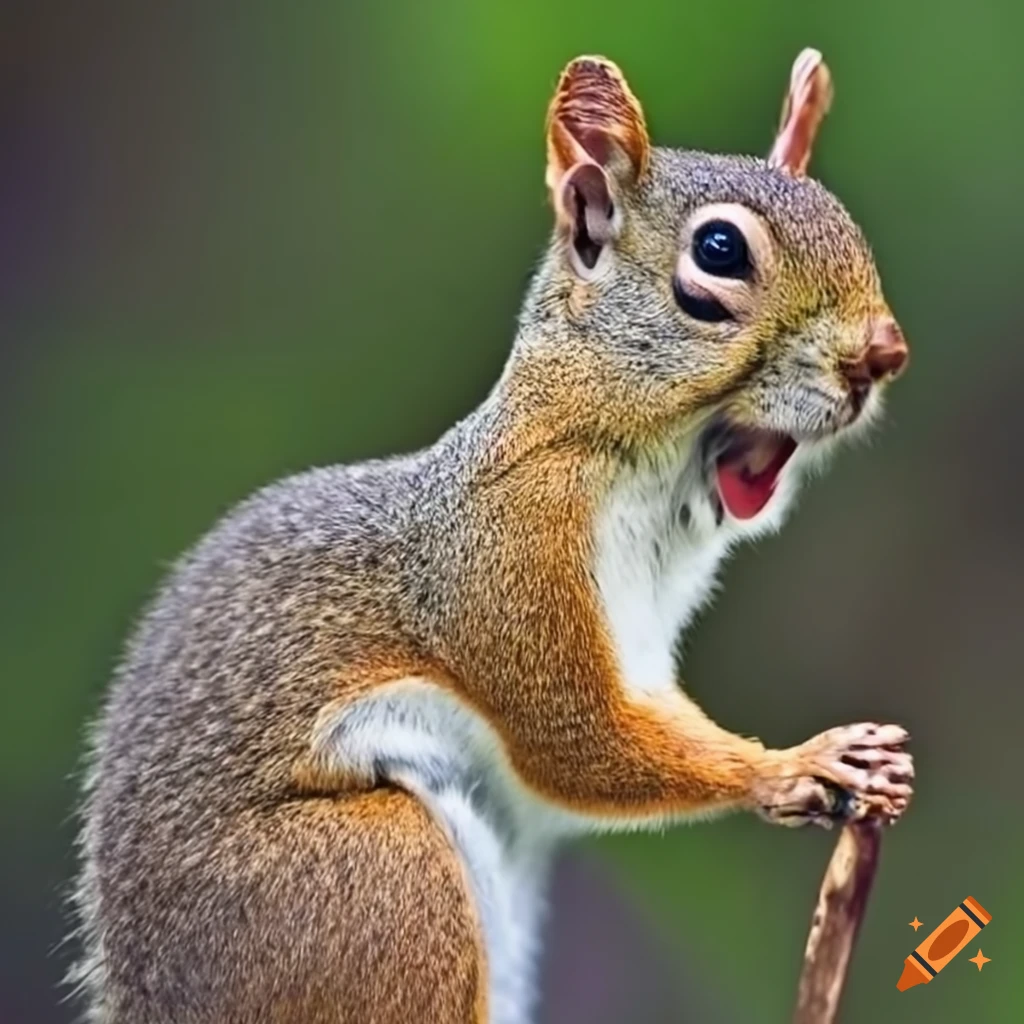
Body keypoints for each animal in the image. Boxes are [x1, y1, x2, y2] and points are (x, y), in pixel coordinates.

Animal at [71, 49, 913, 1024]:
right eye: (719, 252)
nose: (883, 353)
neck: (634, 465)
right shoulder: (507, 553)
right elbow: (579, 738)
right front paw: (795, 766)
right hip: (377, 879)